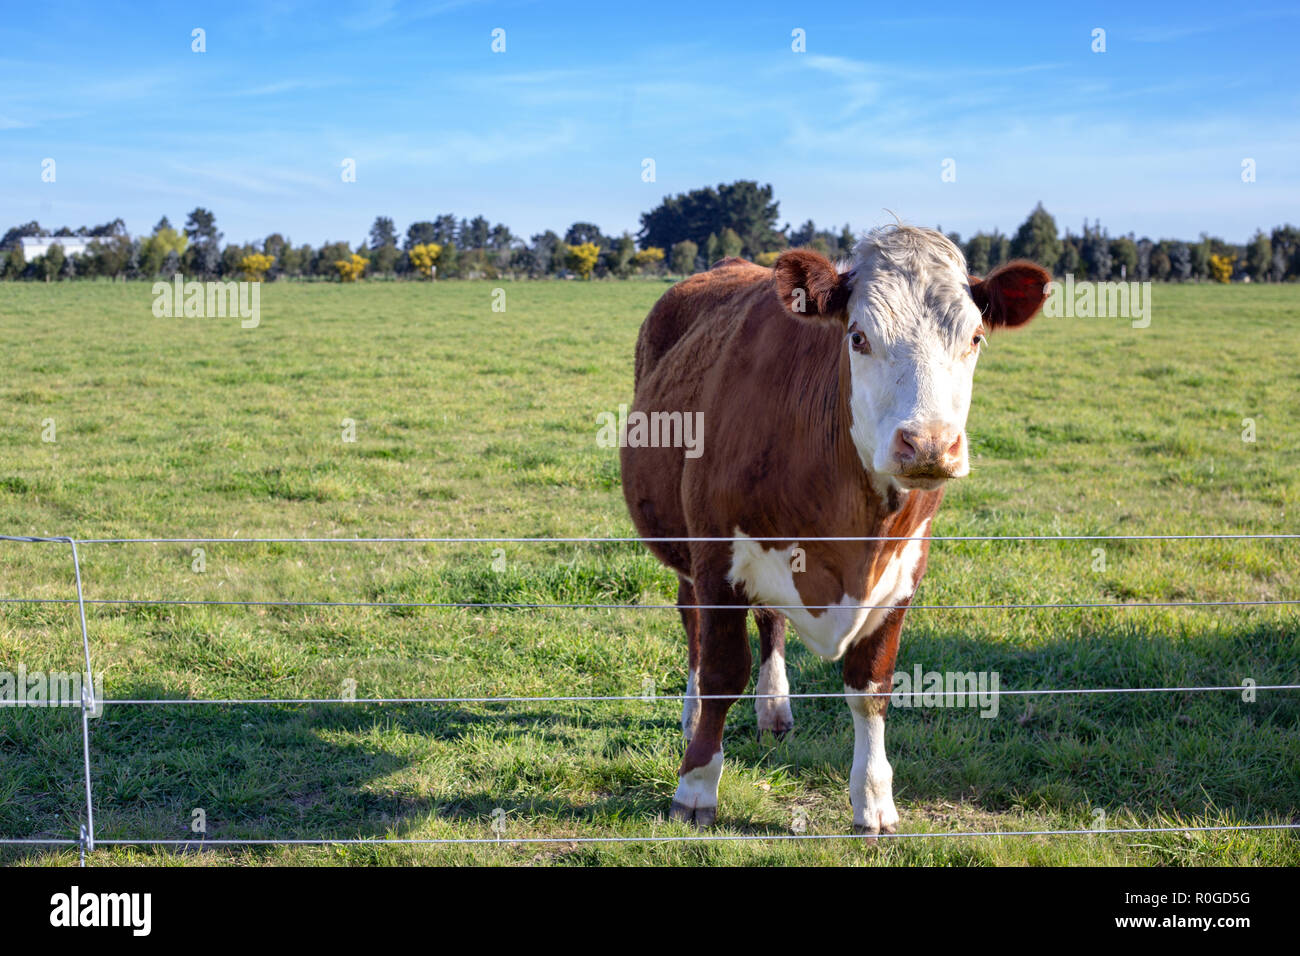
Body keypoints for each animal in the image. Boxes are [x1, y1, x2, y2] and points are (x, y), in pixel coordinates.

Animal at [620, 225, 1050, 832]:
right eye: (858, 337)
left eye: (975, 338)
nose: (928, 444)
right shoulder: (716, 558)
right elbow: (723, 671)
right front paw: (697, 787)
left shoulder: (902, 573)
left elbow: (870, 684)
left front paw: (874, 801)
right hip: (681, 546)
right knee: (692, 625)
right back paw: (692, 711)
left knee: (771, 619)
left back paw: (774, 710)